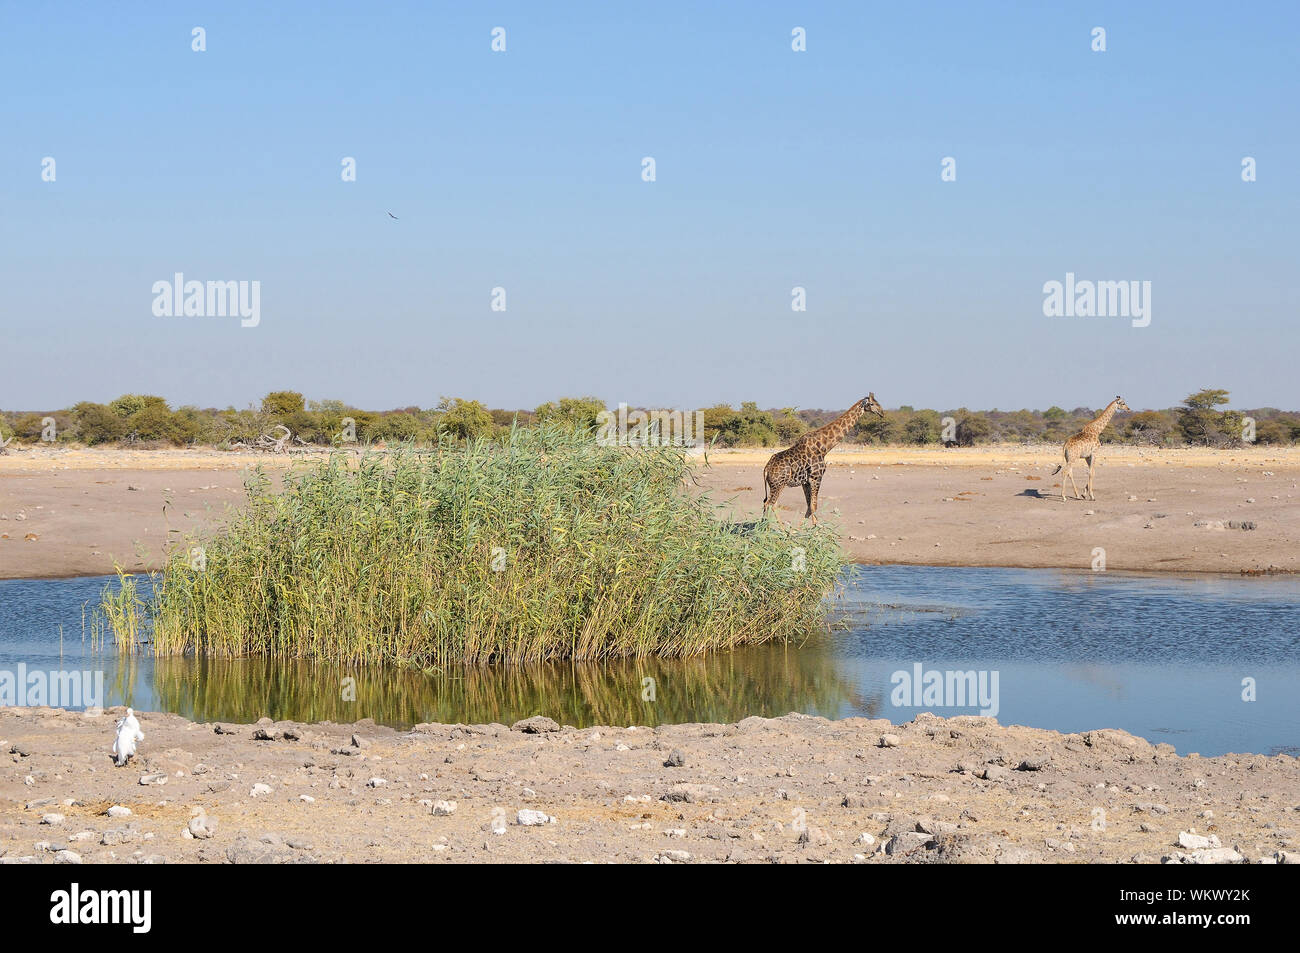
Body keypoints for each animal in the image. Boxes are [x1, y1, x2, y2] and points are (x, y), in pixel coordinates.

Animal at [762, 394, 885, 525]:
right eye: (872, 404)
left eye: (878, 402)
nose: (882, 413)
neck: (824, 447)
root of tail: (766, 469)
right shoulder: (816, 477)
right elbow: (814, 506)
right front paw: (817, 529)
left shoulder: (806, 482)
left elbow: (809, 506)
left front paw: (801, 528)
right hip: (778, 484)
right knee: (769, 504)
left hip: (776, 485)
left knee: (769, 504)